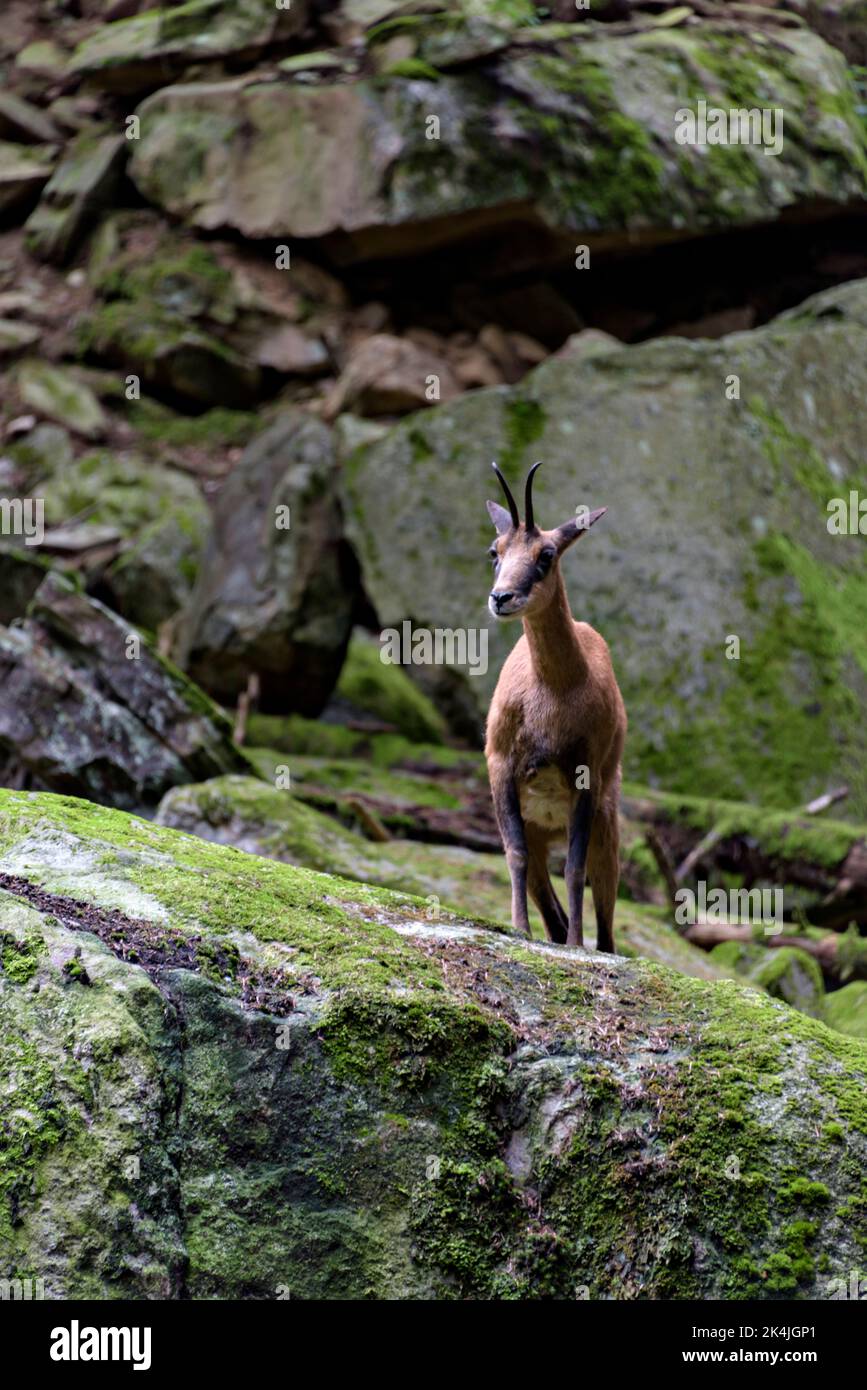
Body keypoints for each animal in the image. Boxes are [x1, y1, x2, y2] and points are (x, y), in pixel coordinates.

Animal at [484, 462, 626, 951]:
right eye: (495, 551)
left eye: (546, 554)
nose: (501, 597)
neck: (553, 693)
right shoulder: (501, 767)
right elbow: (515, 855)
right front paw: (519, 929)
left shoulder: (585, 777)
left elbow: (576, 867)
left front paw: (575, 945)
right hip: (538, 825)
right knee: (543, 886)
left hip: (606, 821)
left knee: (605, 904)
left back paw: (585, 942)